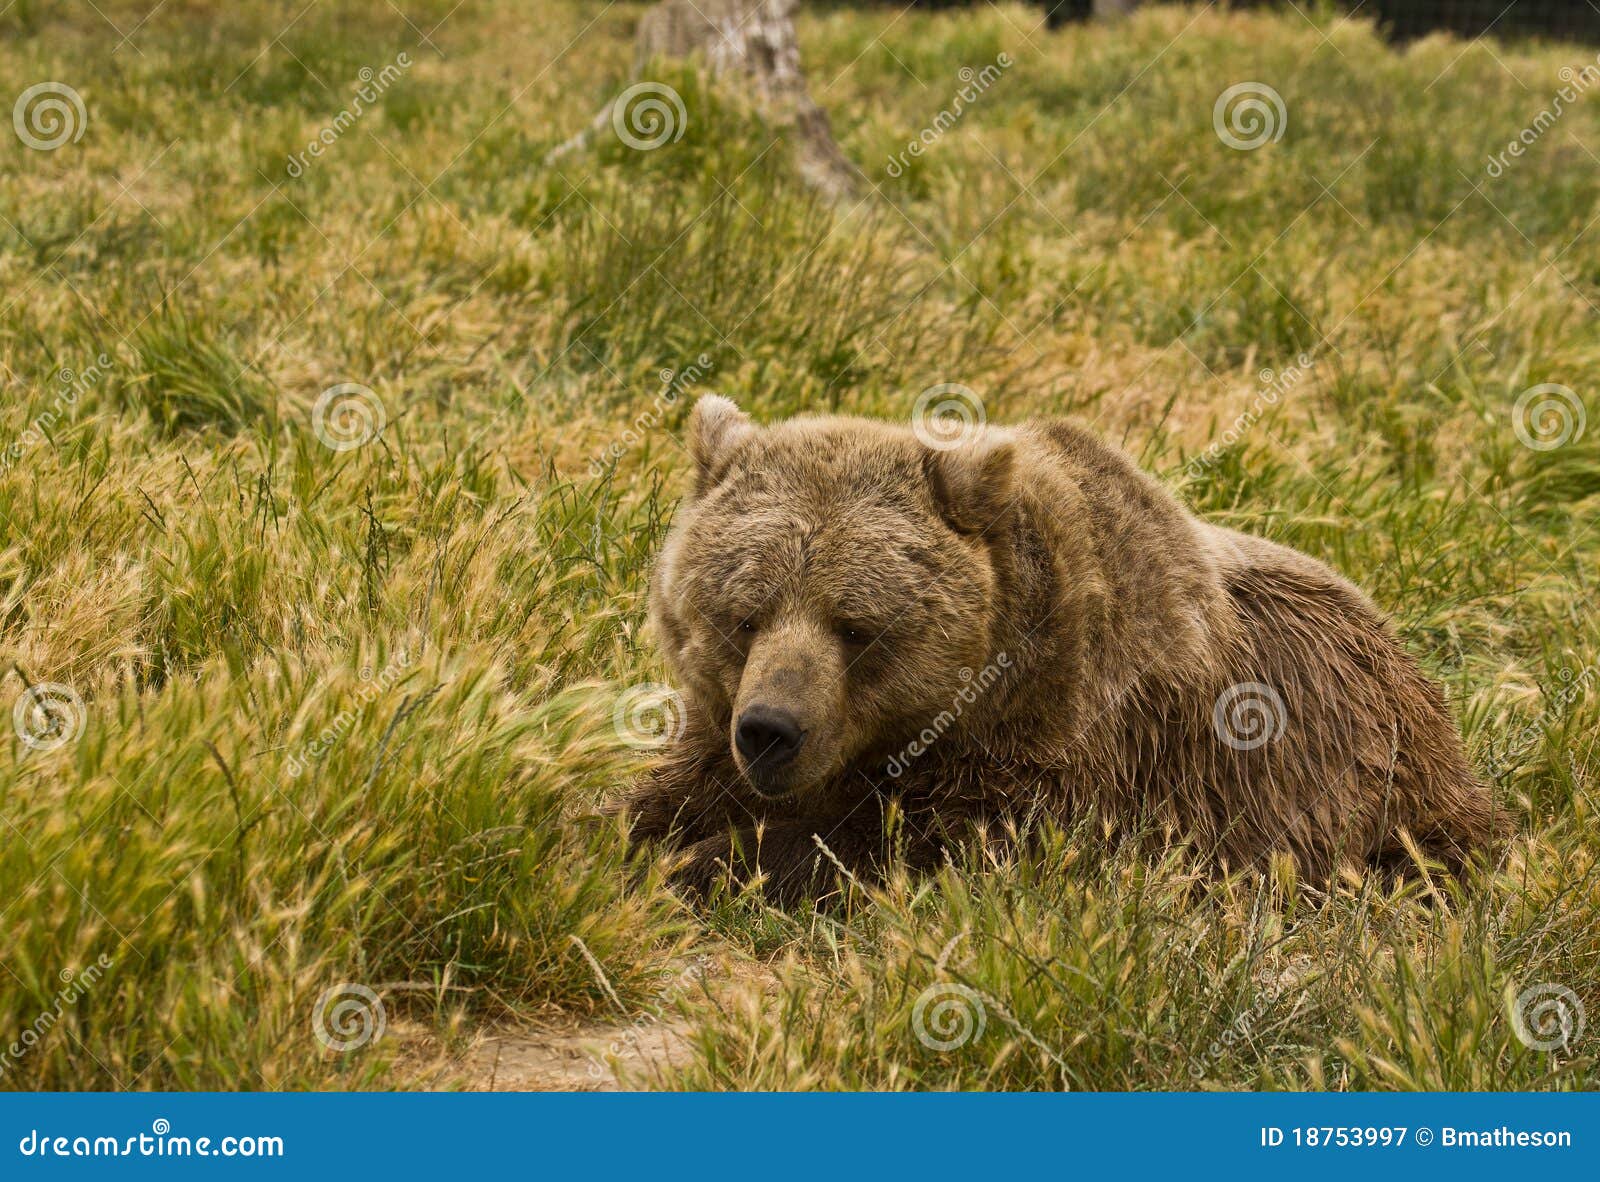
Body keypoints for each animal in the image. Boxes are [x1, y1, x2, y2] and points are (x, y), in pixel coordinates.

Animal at [622, 394, 1505, 904]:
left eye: (855, 626)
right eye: (744, 615)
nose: (771, 730)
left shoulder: (1078, 748)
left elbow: (927, 844)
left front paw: (711, 861)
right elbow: (665, 790)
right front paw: (638, 834)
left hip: (1383, 783)